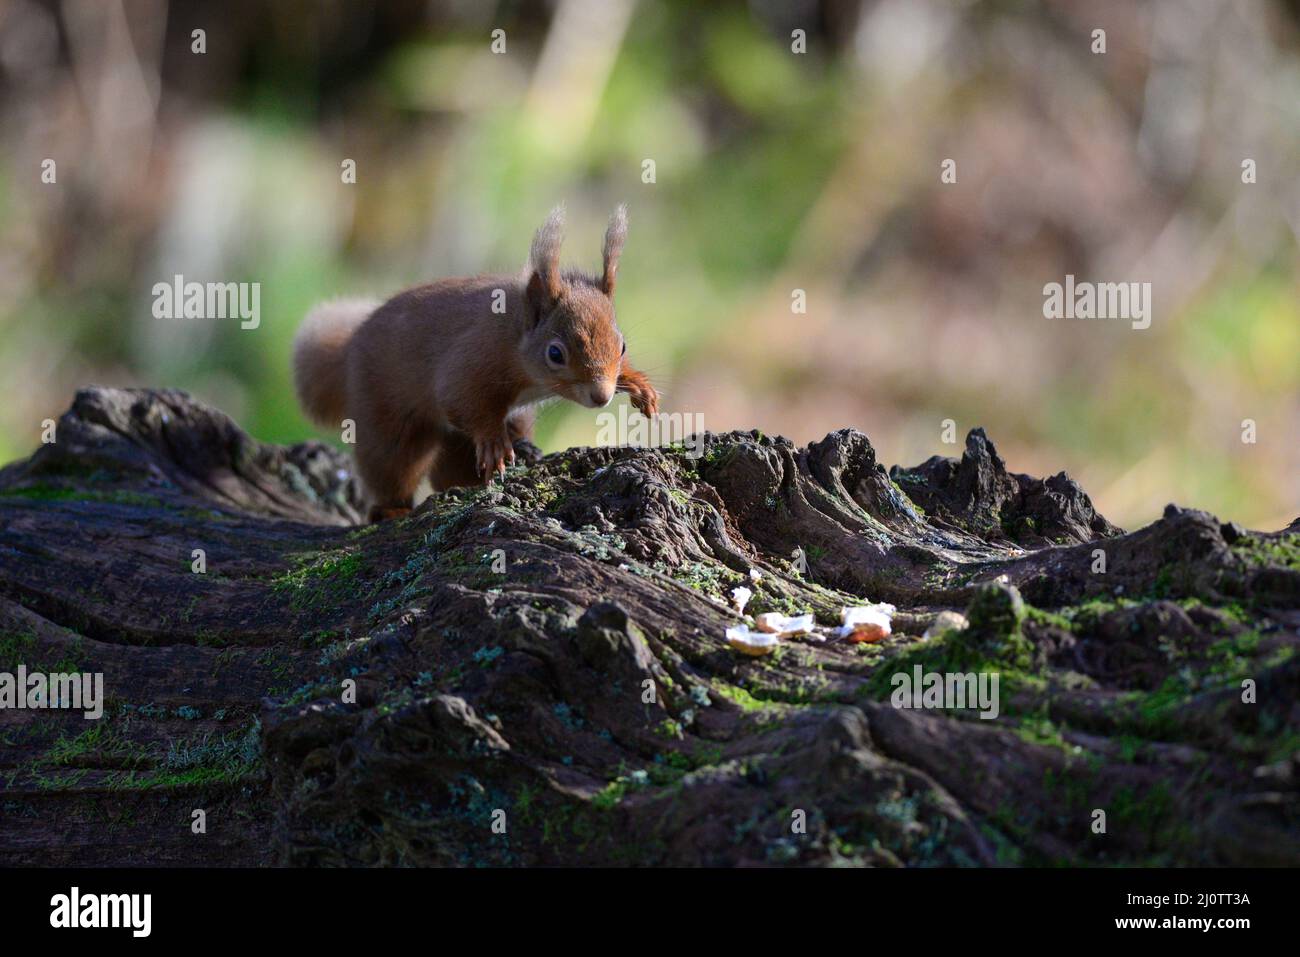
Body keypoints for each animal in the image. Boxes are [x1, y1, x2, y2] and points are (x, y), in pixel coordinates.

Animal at [292, 205, 659, 522]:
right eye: (555, 354)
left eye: (622, 346)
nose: (601, 396)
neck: (514, 334)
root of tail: (349, 347)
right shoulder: (474, 358)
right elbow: (460, 399)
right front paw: (494, 442)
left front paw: (639, 384)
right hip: (384, 411)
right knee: (391, 465)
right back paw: (393, 508)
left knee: (452, 470)